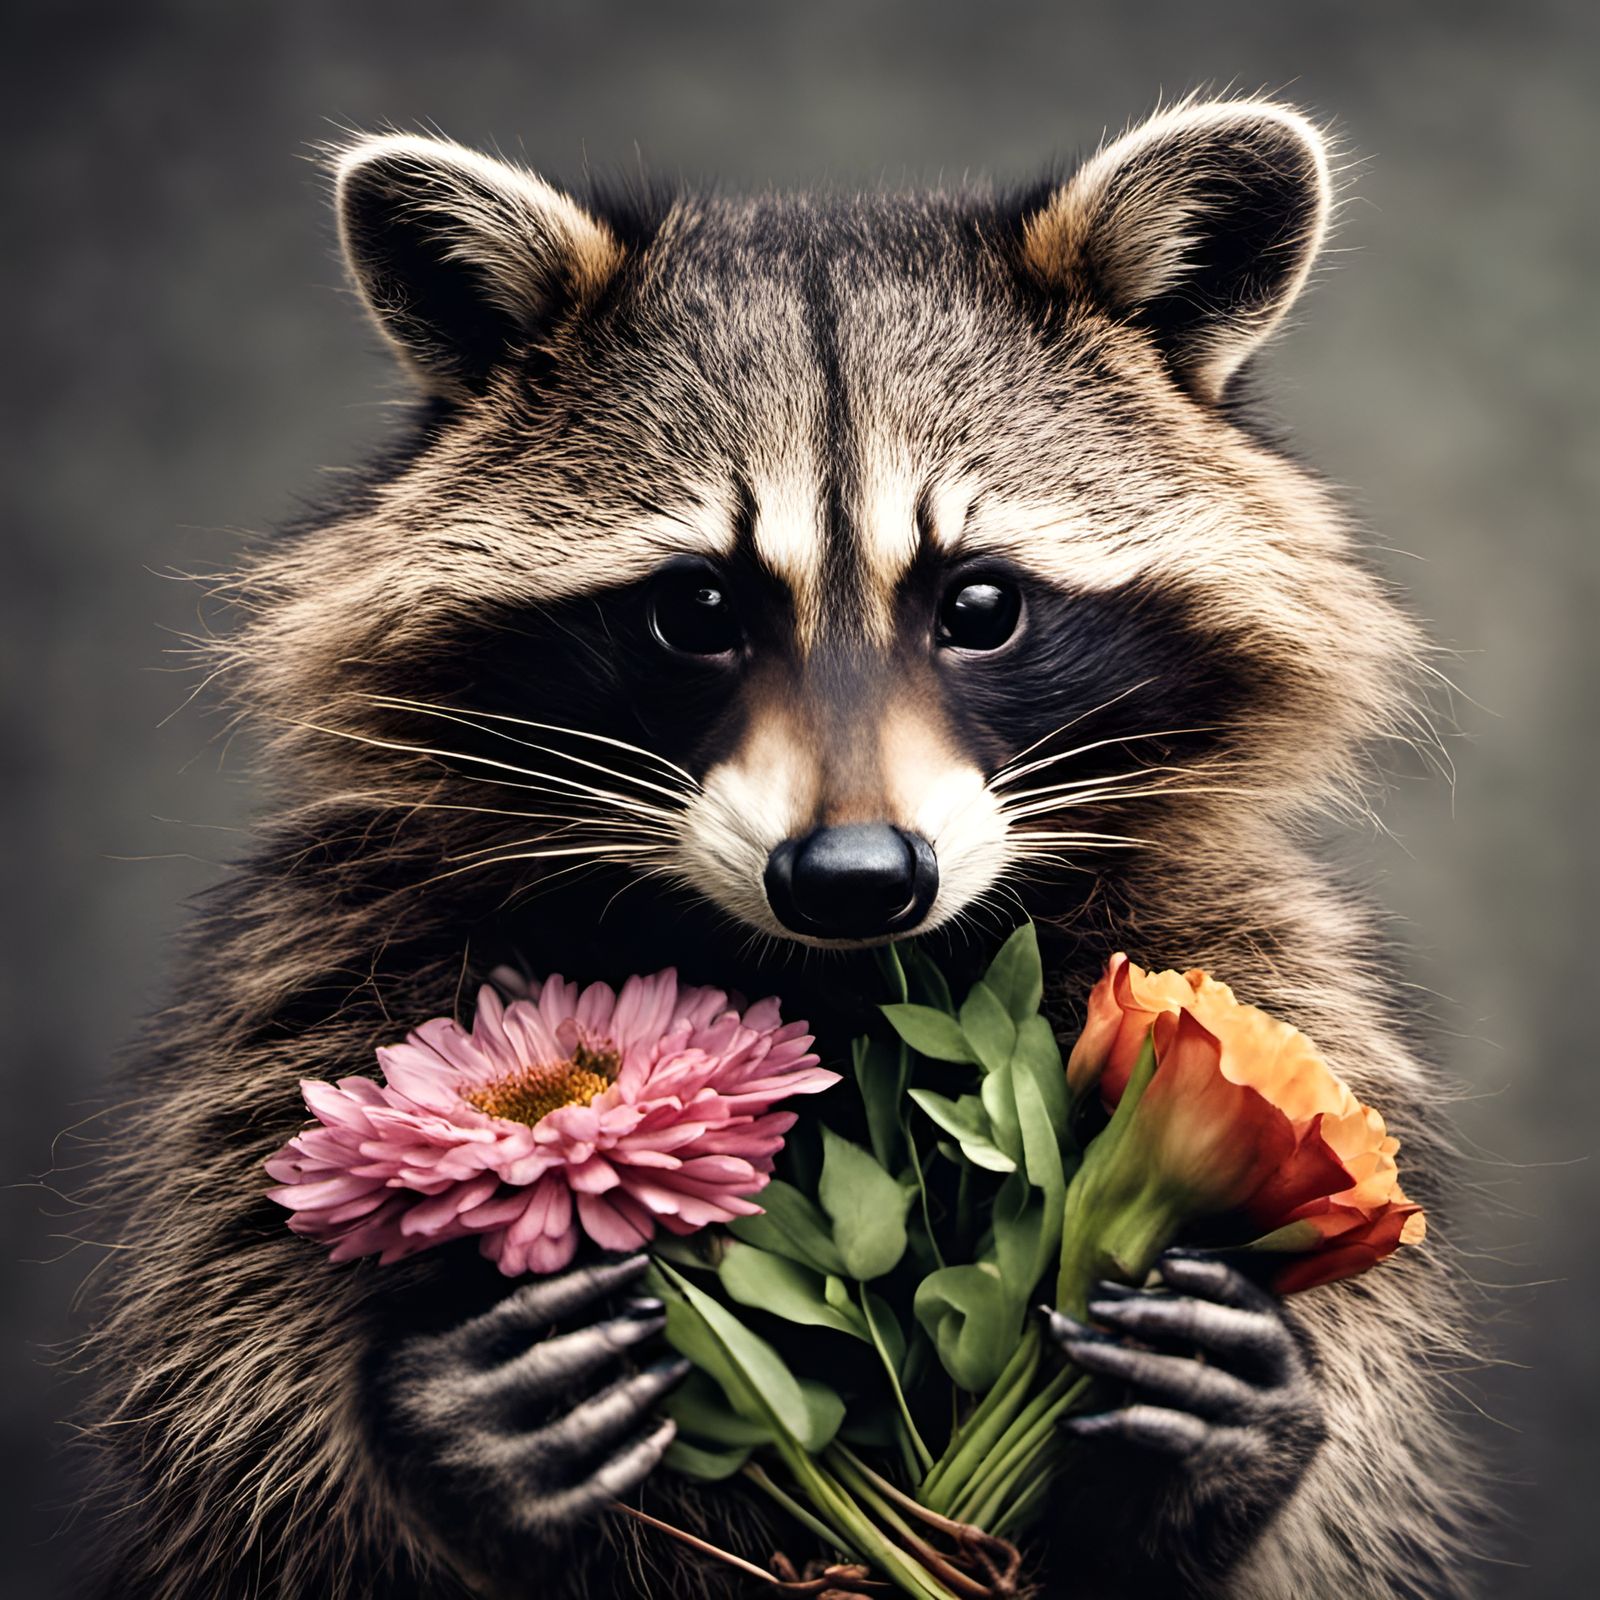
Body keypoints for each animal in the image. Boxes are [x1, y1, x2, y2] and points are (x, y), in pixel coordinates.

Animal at [75, 99, 1481, 1599]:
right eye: (696, 608)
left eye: (980, 604)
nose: (854, 879)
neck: (831, 978)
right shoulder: (326, 973)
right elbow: (255, 1410)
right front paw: (443, 1446)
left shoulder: (1242, 945)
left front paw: (1216, 1457)